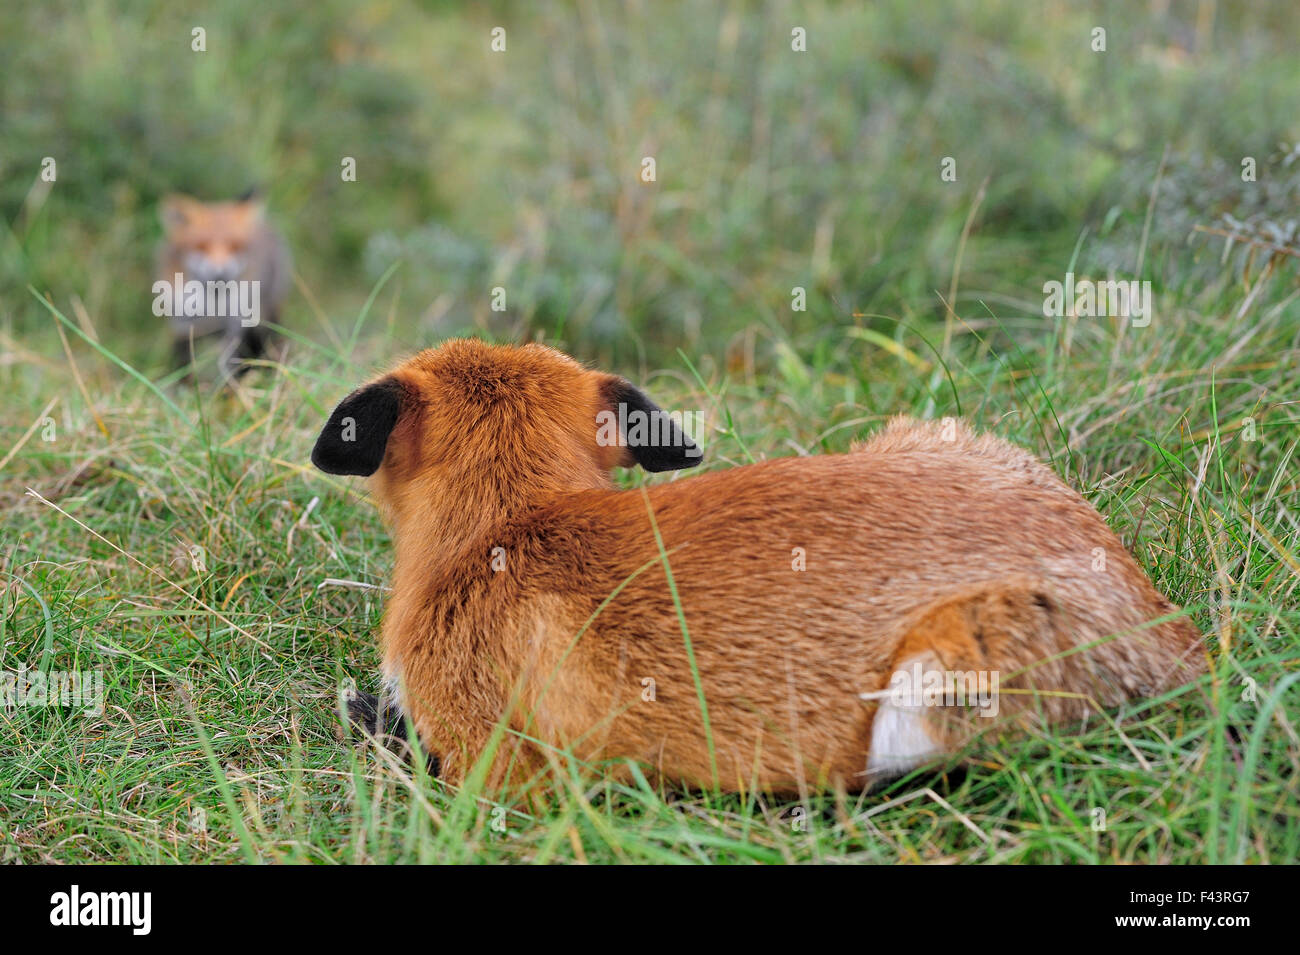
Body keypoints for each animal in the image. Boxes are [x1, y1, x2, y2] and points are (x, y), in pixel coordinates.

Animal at [154, 191, 291, 381]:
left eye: (235, 246)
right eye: (201, 246)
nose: (220, 272)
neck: (213, 304)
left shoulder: (234, 325)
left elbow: (228, 362)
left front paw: (227, 386)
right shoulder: (182, 323)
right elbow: (185, 361)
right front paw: (186, 385)